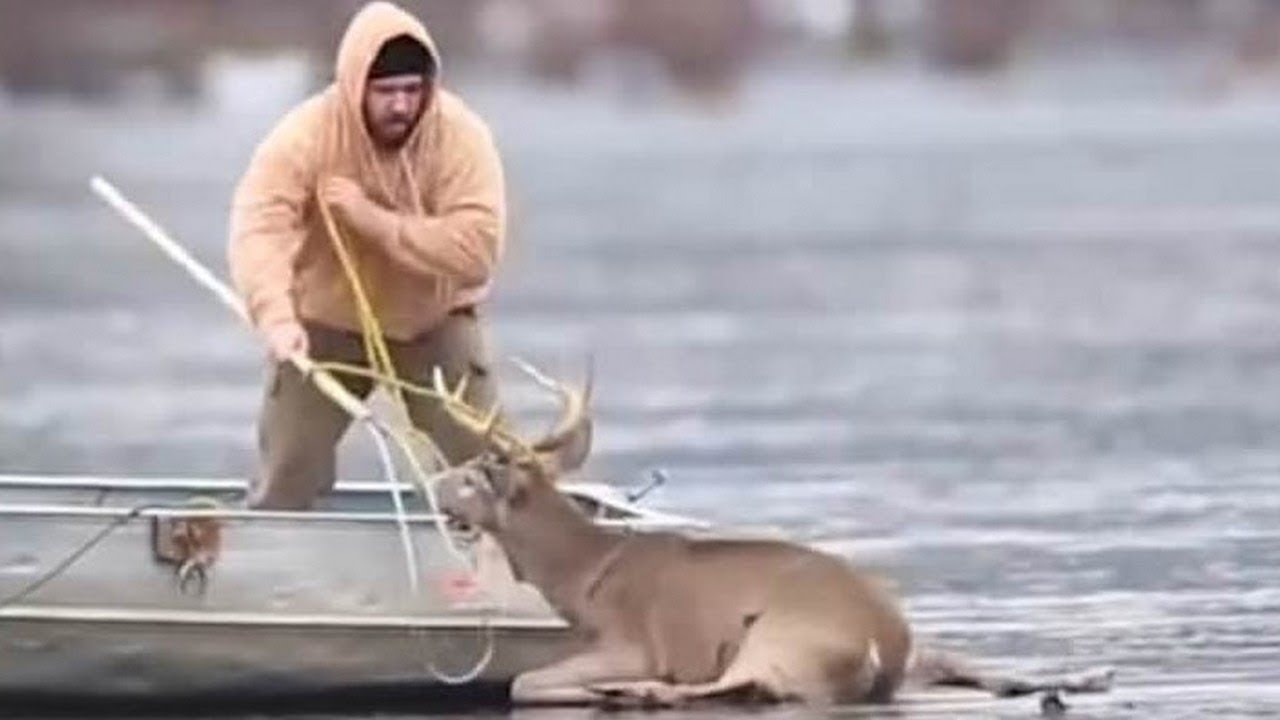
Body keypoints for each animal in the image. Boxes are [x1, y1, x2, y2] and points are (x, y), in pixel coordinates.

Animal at [427, 362, 1115, 707]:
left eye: (471, 475)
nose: (429, 485)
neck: (586, 574)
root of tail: (880, 642)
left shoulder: (632, 641)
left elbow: (522, 683)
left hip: (780, 633)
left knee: (734, 685)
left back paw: (635, 692)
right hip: (908, 650)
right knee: (984, 670)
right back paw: (1083, 679)